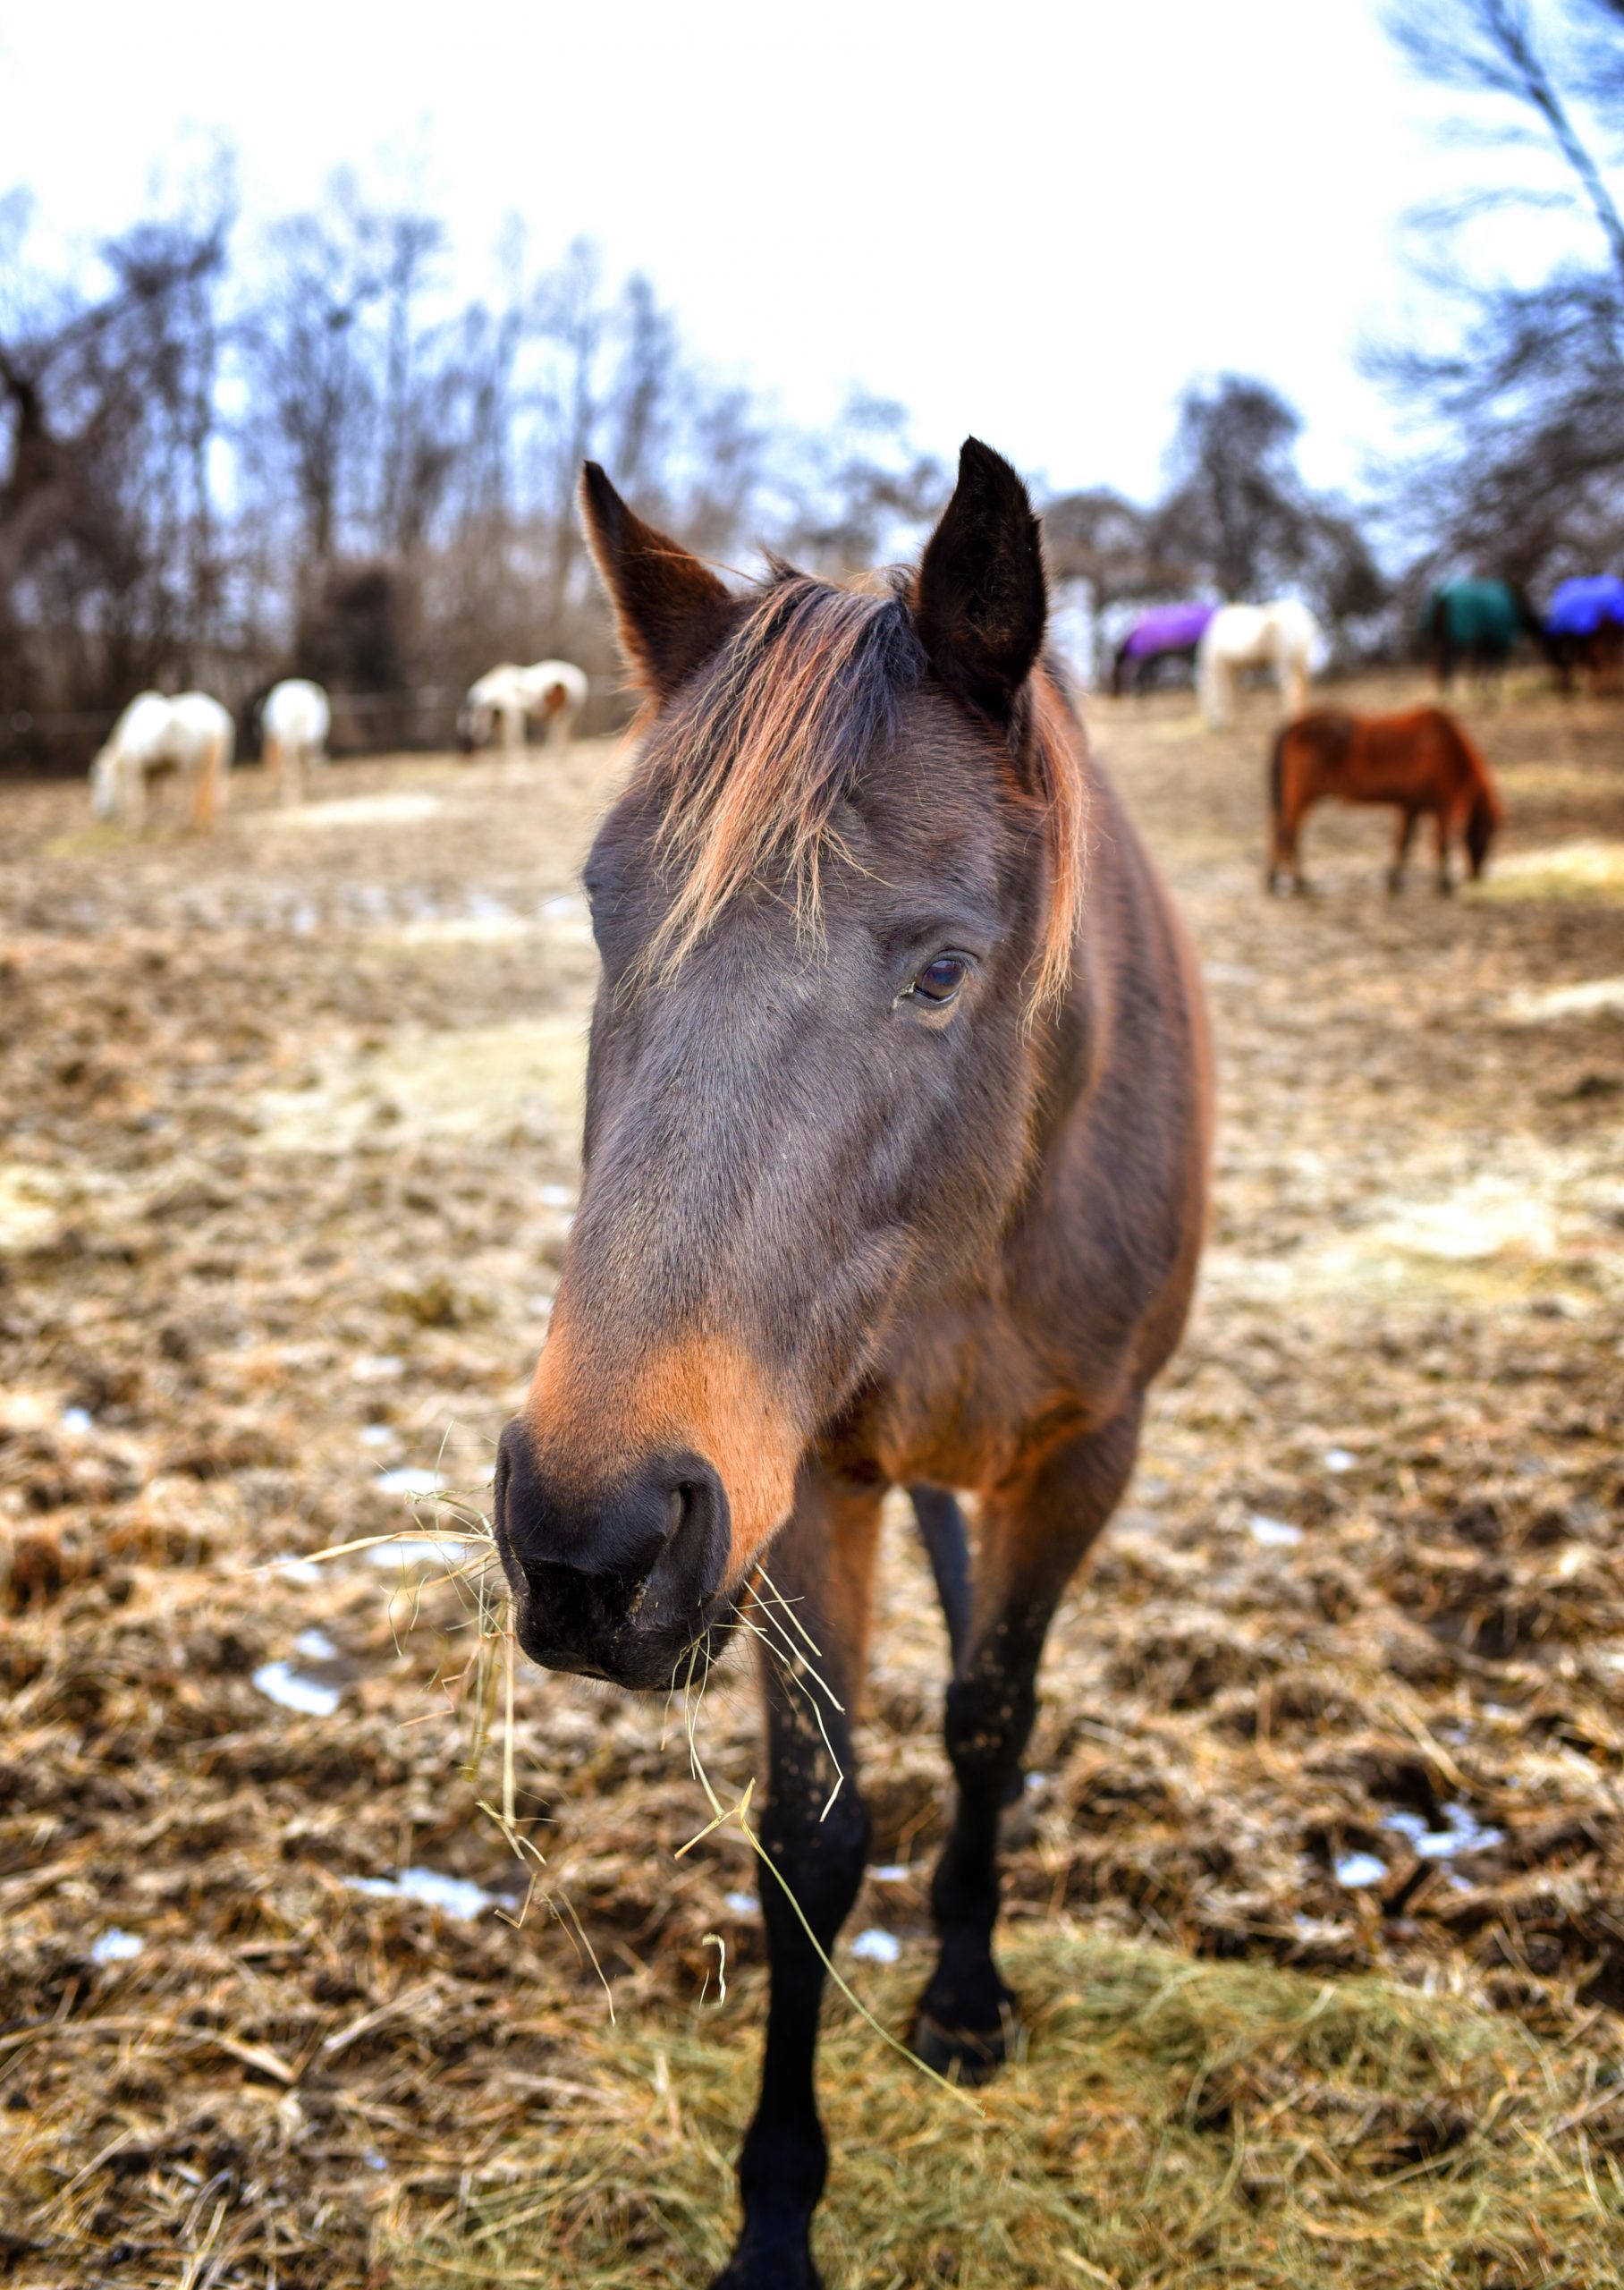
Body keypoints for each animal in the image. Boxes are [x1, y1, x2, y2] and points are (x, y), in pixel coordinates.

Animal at [88, 691, 234, 832]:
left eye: (100, 784)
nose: (100, 812)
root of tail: (217, 718)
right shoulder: (155, 771)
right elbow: (154, 795)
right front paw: (152, 819)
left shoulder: (136, 768)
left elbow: (136, 796)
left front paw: (135, 824)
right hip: (211, 766)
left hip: (188, 767)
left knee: (189, 793)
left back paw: (184, 823)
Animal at [456, 660, 588, 758]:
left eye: (473, 730)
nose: (466, 754)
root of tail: (579, 675)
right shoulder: (500, 717)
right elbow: (502, 738)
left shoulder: (513, 711)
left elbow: (513, 736)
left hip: (565, 712)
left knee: (558, 731)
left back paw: (550, 754)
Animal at [490, 441, 1213, 2290]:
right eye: (602, 923)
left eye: (945, 967)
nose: (584, 1542)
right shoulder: (794, 1479)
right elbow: (811, 1838)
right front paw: (773, 2221)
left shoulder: (1086, 1456)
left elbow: (989, 1728)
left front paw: (964, 1997)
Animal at [1197, 599, 1321, 728]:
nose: (1209, 721)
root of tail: (1306, 619)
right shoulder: (1229, 668)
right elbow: (1229, 691)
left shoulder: (1221, 666)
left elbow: (1223, 692)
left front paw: (1221, 719)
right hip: (1300, 662)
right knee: (1303, 688)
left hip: (1284, 662)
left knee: (1290, 690)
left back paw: (1288, 718)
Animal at [1267, 706, 1504, 897]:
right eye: (1488, 832)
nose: (1477, 875)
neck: (1448, 749)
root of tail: (1294, 726)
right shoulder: (1442, 805)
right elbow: (1442, 844)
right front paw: (1446, 885)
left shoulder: (1412, 805)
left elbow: (1403, 843)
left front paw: (1394, 881)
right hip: (1301, 799)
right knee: (1288, 835)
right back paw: (1294, 882)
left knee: (1286, 834)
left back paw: (1283, 881)